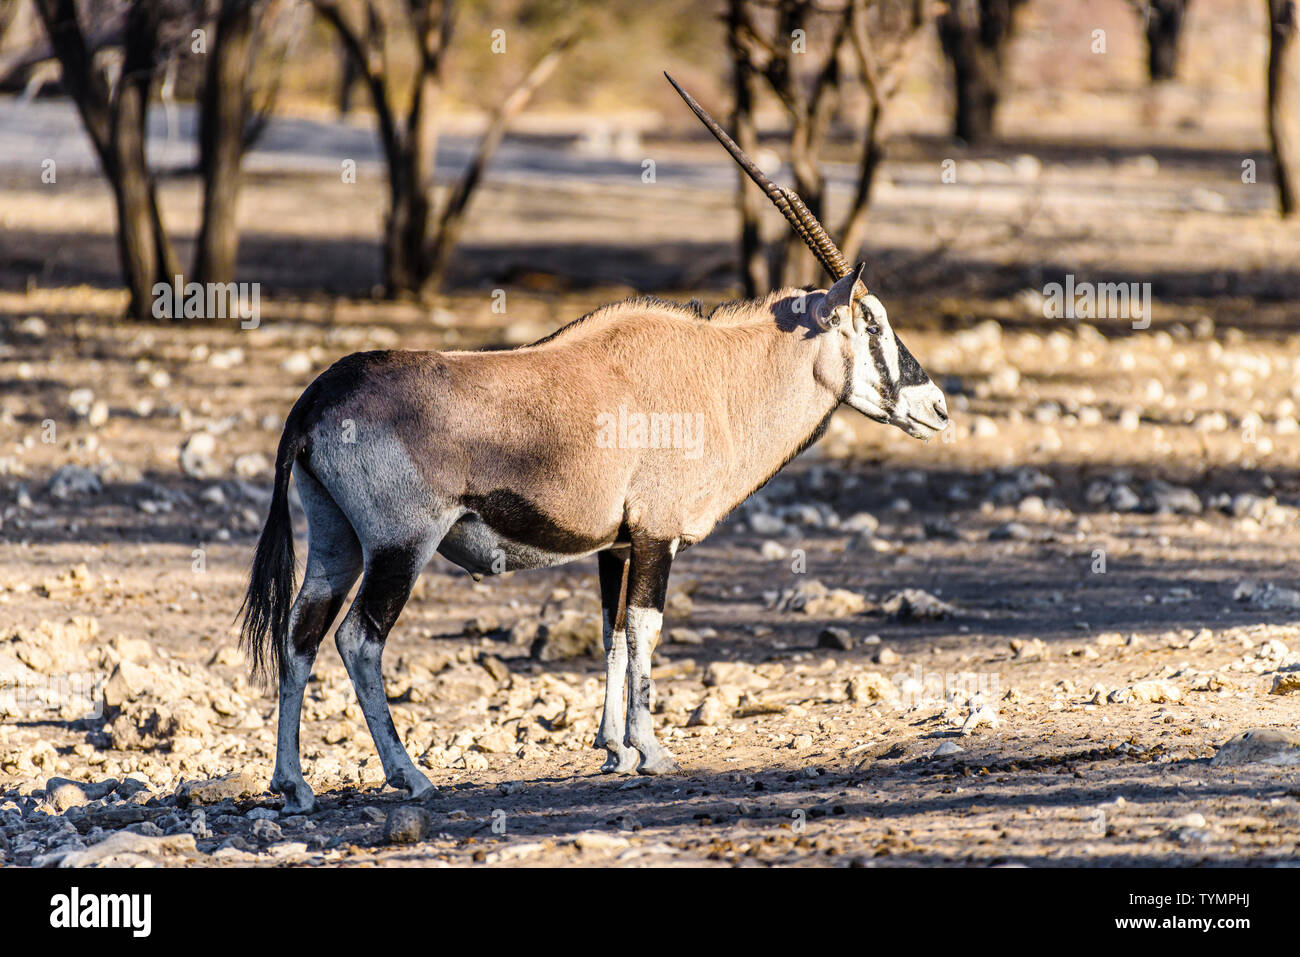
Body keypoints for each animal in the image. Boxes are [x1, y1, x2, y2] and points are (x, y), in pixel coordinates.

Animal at [241, 74, 948, 814]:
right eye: (872, 323)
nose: (936, 407)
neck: (716, 373)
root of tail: (320, 394)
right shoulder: (657, 535)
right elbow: (644, 630)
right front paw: (653, 751)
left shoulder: (617, 543)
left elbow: (610, 633)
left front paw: (615, 749)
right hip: (400, 546)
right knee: (359, 640)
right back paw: (408, 774)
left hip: (336, 541)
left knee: (299, 635)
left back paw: (293, 783)